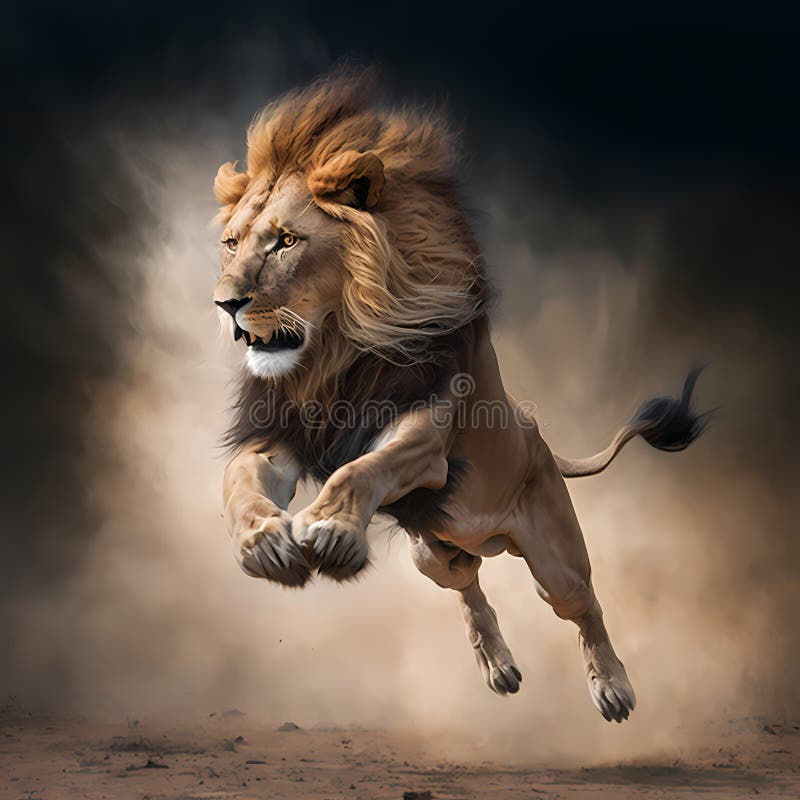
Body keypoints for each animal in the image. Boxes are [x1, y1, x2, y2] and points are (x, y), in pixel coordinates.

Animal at [213, 68, 709, 724]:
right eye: (231, 243)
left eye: (286, 242)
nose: (225, 303)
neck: (333, 355)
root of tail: (537, 435)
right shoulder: (282, 438)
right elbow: (239, 480)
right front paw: (264, 543)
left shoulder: (426, 436)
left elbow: (360, 469)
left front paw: (331, 527)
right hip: (433, 554)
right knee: (468, 586)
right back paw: (498, 665)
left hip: (554, 558)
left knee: (585, 608)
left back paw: (613, 688)